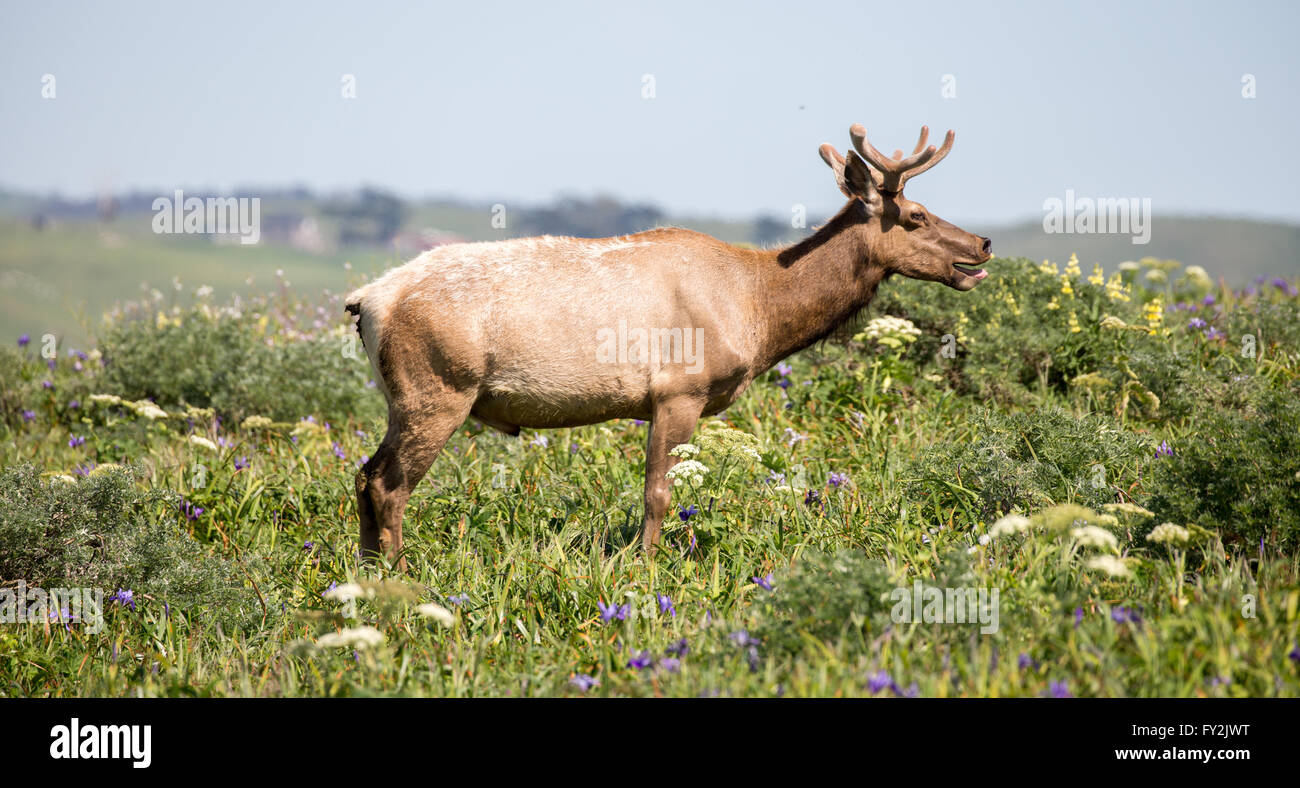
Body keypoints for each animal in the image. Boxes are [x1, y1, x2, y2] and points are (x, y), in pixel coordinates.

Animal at [345, 122, 992, 569]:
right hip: (438, 387)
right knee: (389, 484)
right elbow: (658, 492)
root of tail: (366, 301)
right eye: (916, 214)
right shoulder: (679, 389)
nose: (982, 243)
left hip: (406, 396)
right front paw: (647, 564)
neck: (757, 312)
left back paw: (366, 570)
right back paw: (401, 572)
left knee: (363, 474)